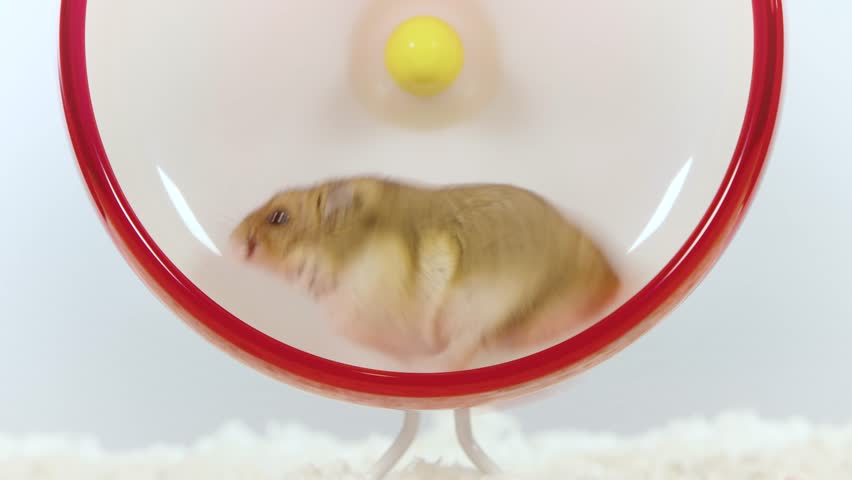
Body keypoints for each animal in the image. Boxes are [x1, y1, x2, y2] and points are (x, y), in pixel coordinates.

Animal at [230, 176, 620, 372]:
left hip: (486, 307)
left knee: (465, 348)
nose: (232, 239)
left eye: (278, 217)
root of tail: (612, 280)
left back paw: (427, 365)